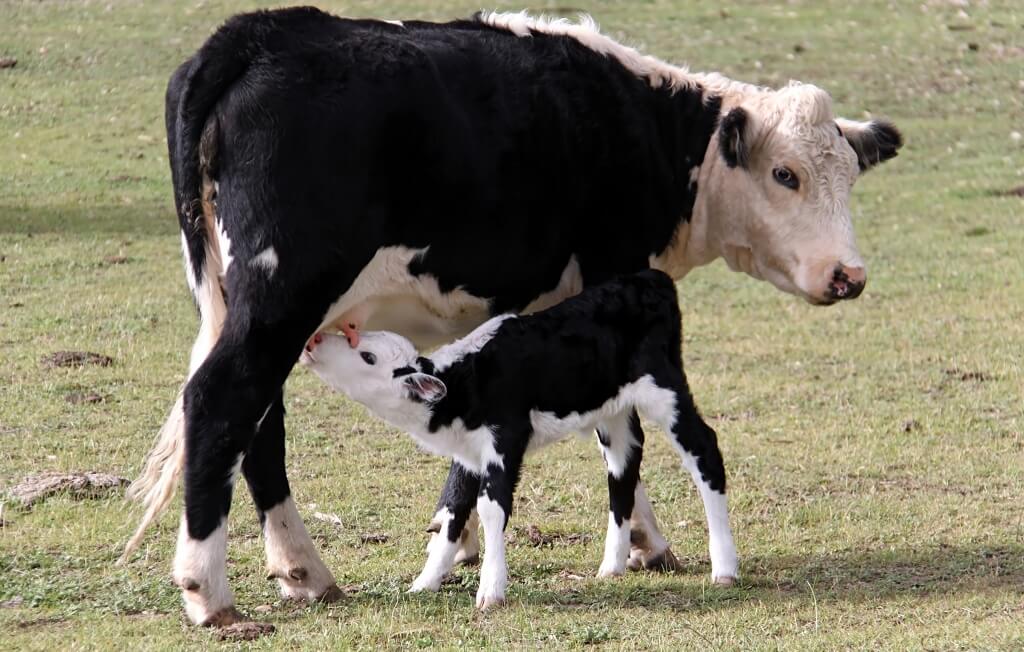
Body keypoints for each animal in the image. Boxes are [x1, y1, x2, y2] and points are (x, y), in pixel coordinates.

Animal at [301, 270, 723, 609]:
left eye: (368, 357)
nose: (314, 341)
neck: (465, 382)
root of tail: (651, 279)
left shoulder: (505, 440)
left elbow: (490, 509)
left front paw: (490, 591)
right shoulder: (469, 452)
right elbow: (453, 510)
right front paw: (424, 583)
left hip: (664, 388)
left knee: (704, 448)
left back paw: (724, 567)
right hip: (613, 413)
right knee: (623, 468)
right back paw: (611, 567)